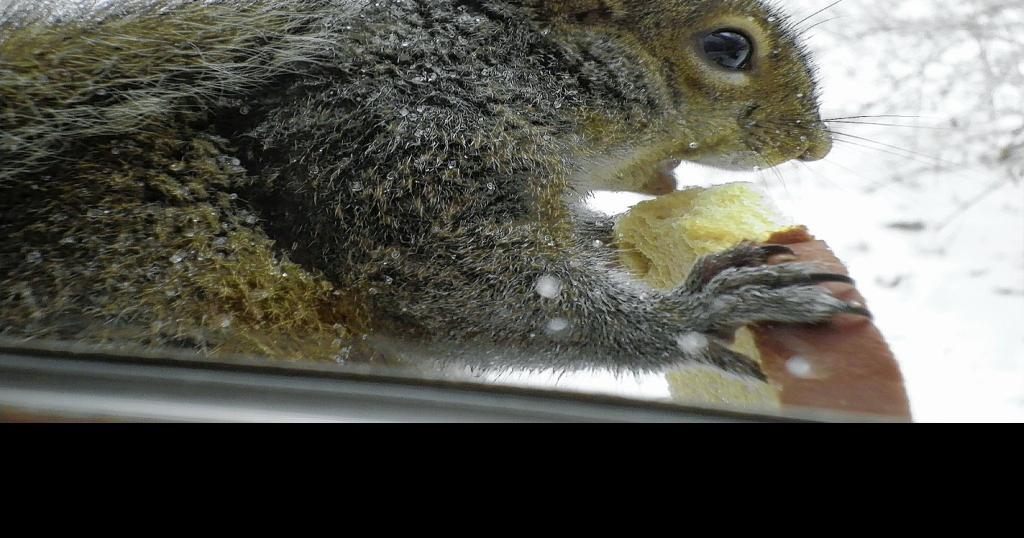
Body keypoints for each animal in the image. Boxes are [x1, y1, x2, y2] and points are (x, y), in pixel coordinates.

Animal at [0, 0, 866, 380]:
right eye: (728, 48)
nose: (817, 144)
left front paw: (604, 238)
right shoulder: (402, 139)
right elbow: (463, 290)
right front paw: (704, 310)